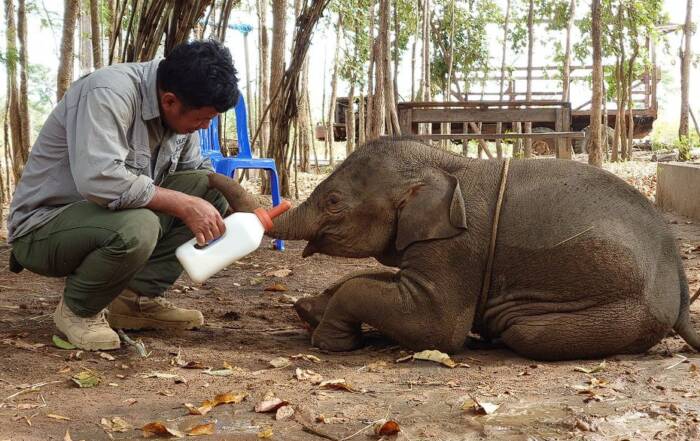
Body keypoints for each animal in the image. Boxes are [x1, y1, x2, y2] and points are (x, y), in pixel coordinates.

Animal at [210, 138, 700, 361]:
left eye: (332, 202)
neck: (445, 162)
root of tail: (680, 296)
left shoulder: (459, 247)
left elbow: (436, 326)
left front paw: (329, 341)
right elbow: (374, 279)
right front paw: (309, 308)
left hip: (621, 312)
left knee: (524, 332)